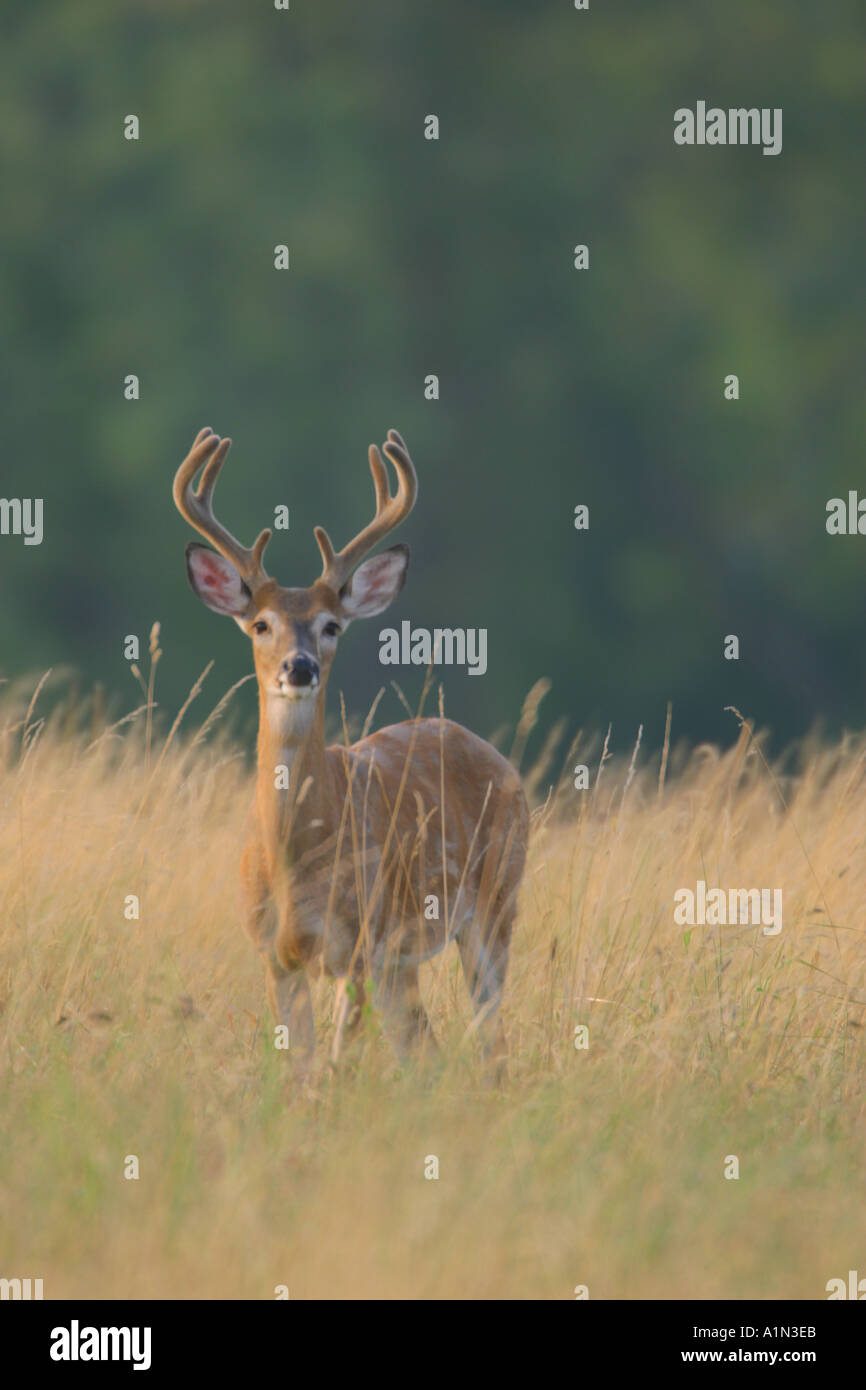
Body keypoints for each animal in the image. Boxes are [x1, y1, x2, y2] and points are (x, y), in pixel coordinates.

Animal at [173, 426, 528, 1075]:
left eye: (332, 625)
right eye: (260, 624)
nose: (300, 666)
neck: (293, 862)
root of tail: (495, 754)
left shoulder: (359, 945)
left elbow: (332, 1071)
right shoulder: (274, 955)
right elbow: (300, 1071)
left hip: (494, 906)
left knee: (490, 1041)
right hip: (404, 961)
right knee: (422, 1045)